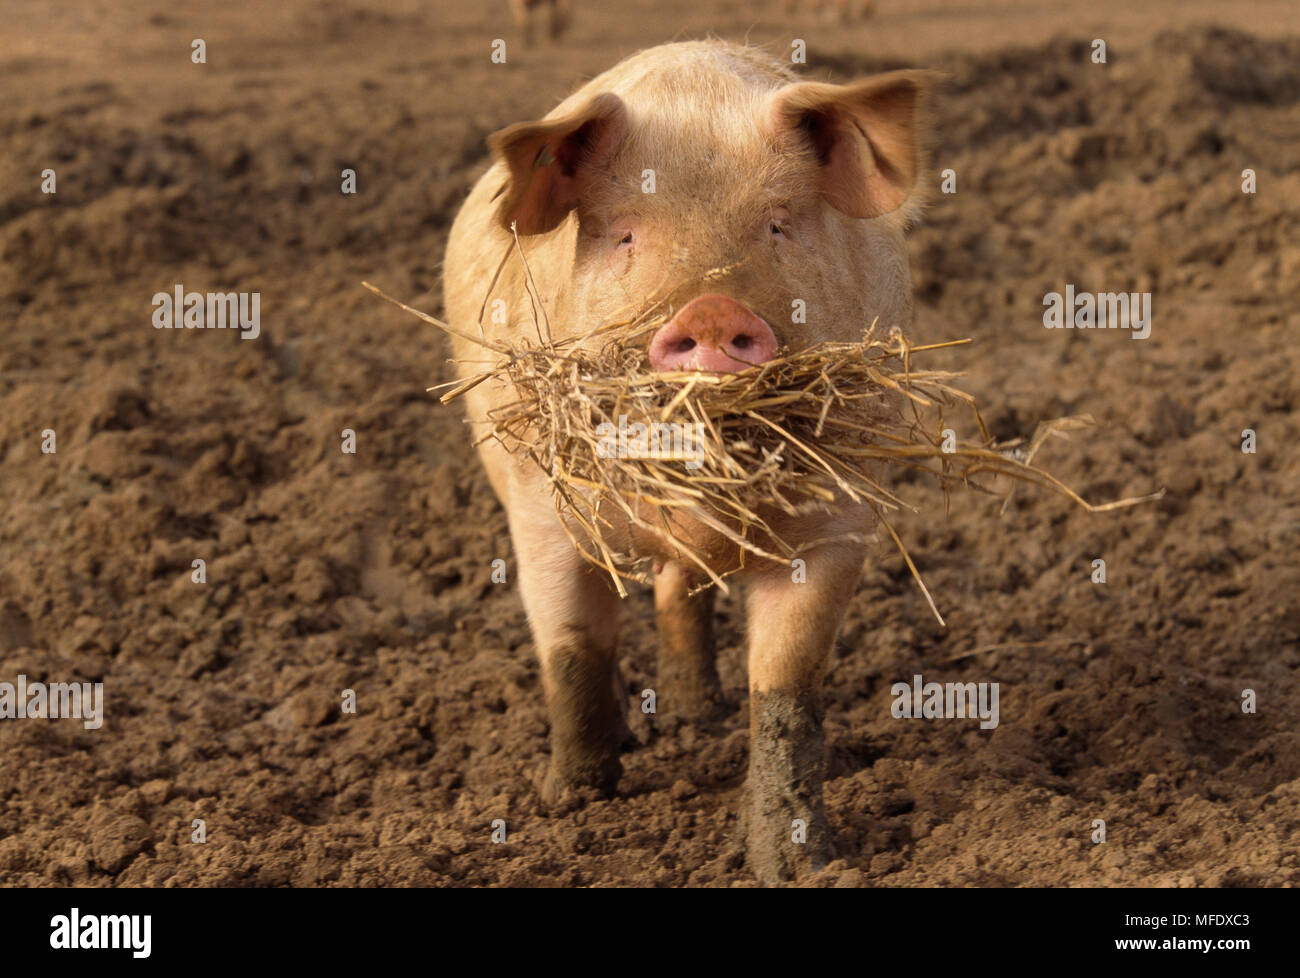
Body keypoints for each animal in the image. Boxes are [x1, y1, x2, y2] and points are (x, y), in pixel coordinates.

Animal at [442, 40, 929, 882]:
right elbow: (571, 649)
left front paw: (793, 860)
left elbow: (787, 684)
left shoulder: (838, 520)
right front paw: (569, 803)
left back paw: (699, 716)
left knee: (681, 593)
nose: (710, 310)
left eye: (778, 223)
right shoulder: (540, 510)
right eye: (624, 235)